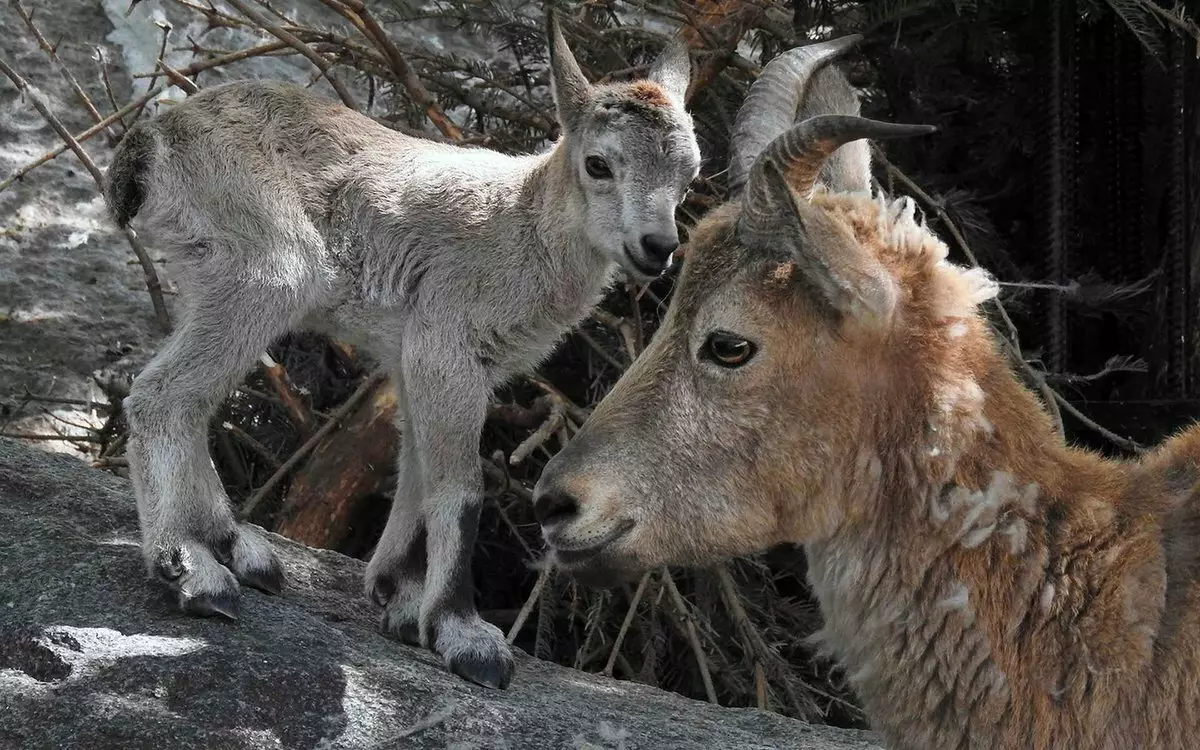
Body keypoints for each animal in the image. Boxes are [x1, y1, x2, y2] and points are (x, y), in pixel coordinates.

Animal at [105, 13, 700, 691]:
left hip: (207, 277)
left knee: (192, 401)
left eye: (689, 175)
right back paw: (191, 570)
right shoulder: (445, 348)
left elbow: (414, 470)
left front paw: (399, 595)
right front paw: (464, 634)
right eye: (599, 164)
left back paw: (238, 549)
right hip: (269, 271)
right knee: (160, 396)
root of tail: (154, 137)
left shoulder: (420, 362)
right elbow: (460, 486)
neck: (522, 228)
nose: (657, 247)